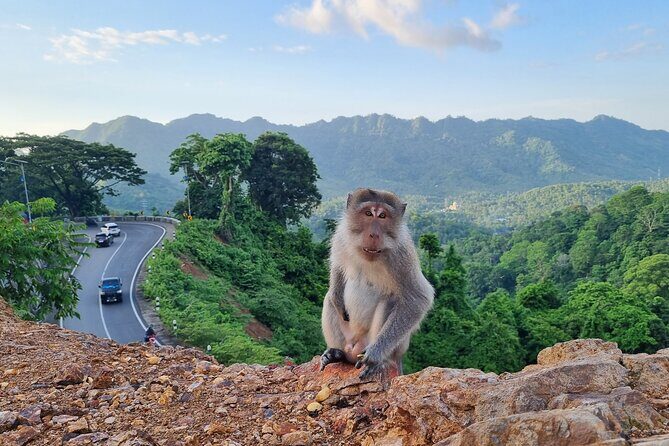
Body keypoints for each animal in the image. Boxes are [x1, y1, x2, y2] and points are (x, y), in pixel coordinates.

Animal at [320, 188, 434, 380]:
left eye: (382, 216)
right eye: (368, 213)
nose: (374, 234)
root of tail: (354, 349)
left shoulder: (402, 255)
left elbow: (418, 298)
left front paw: (375, 353)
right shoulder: (341, 235)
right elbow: (338, 266)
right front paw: (336, 294)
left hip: (388, 348)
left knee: (391, 300)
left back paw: (380, 361)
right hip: (348, 337)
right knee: (329, 300)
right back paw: (336, 353)